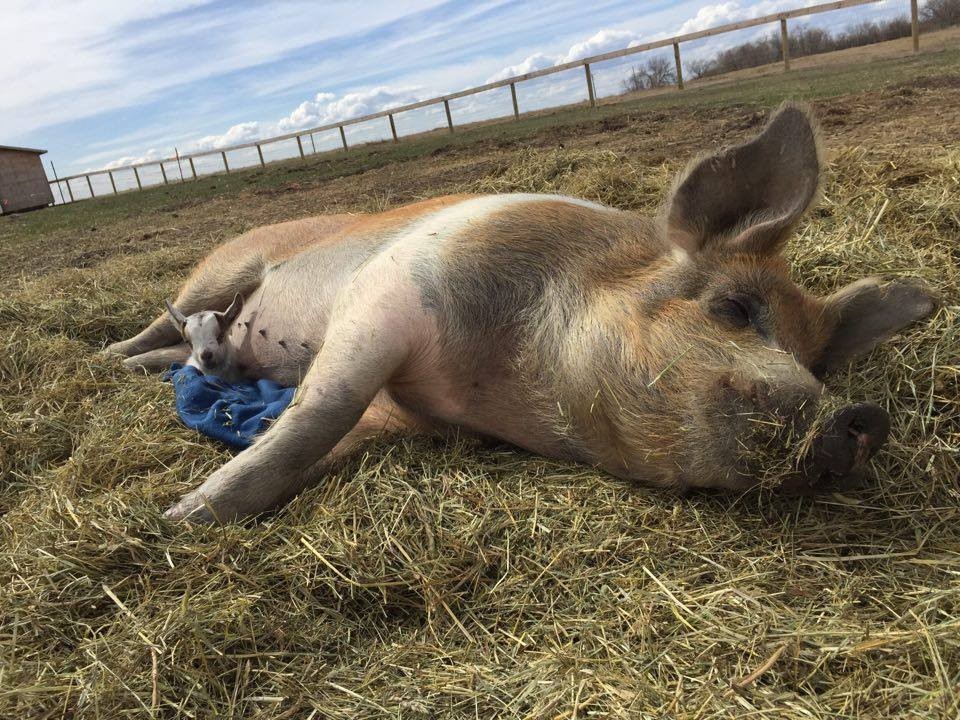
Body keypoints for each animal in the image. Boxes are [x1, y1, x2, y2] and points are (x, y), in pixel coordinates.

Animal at [106, 104, 937, 523]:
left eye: (816, 360)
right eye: (733, 307)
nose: (863, 415)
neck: (514, 384)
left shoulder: (402, 412)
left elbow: (327, 438)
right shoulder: (388, 294)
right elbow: (320, 413)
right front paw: (181, 521)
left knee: (183, 349)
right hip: (220, 266)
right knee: (165, 323)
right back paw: (105, 359)